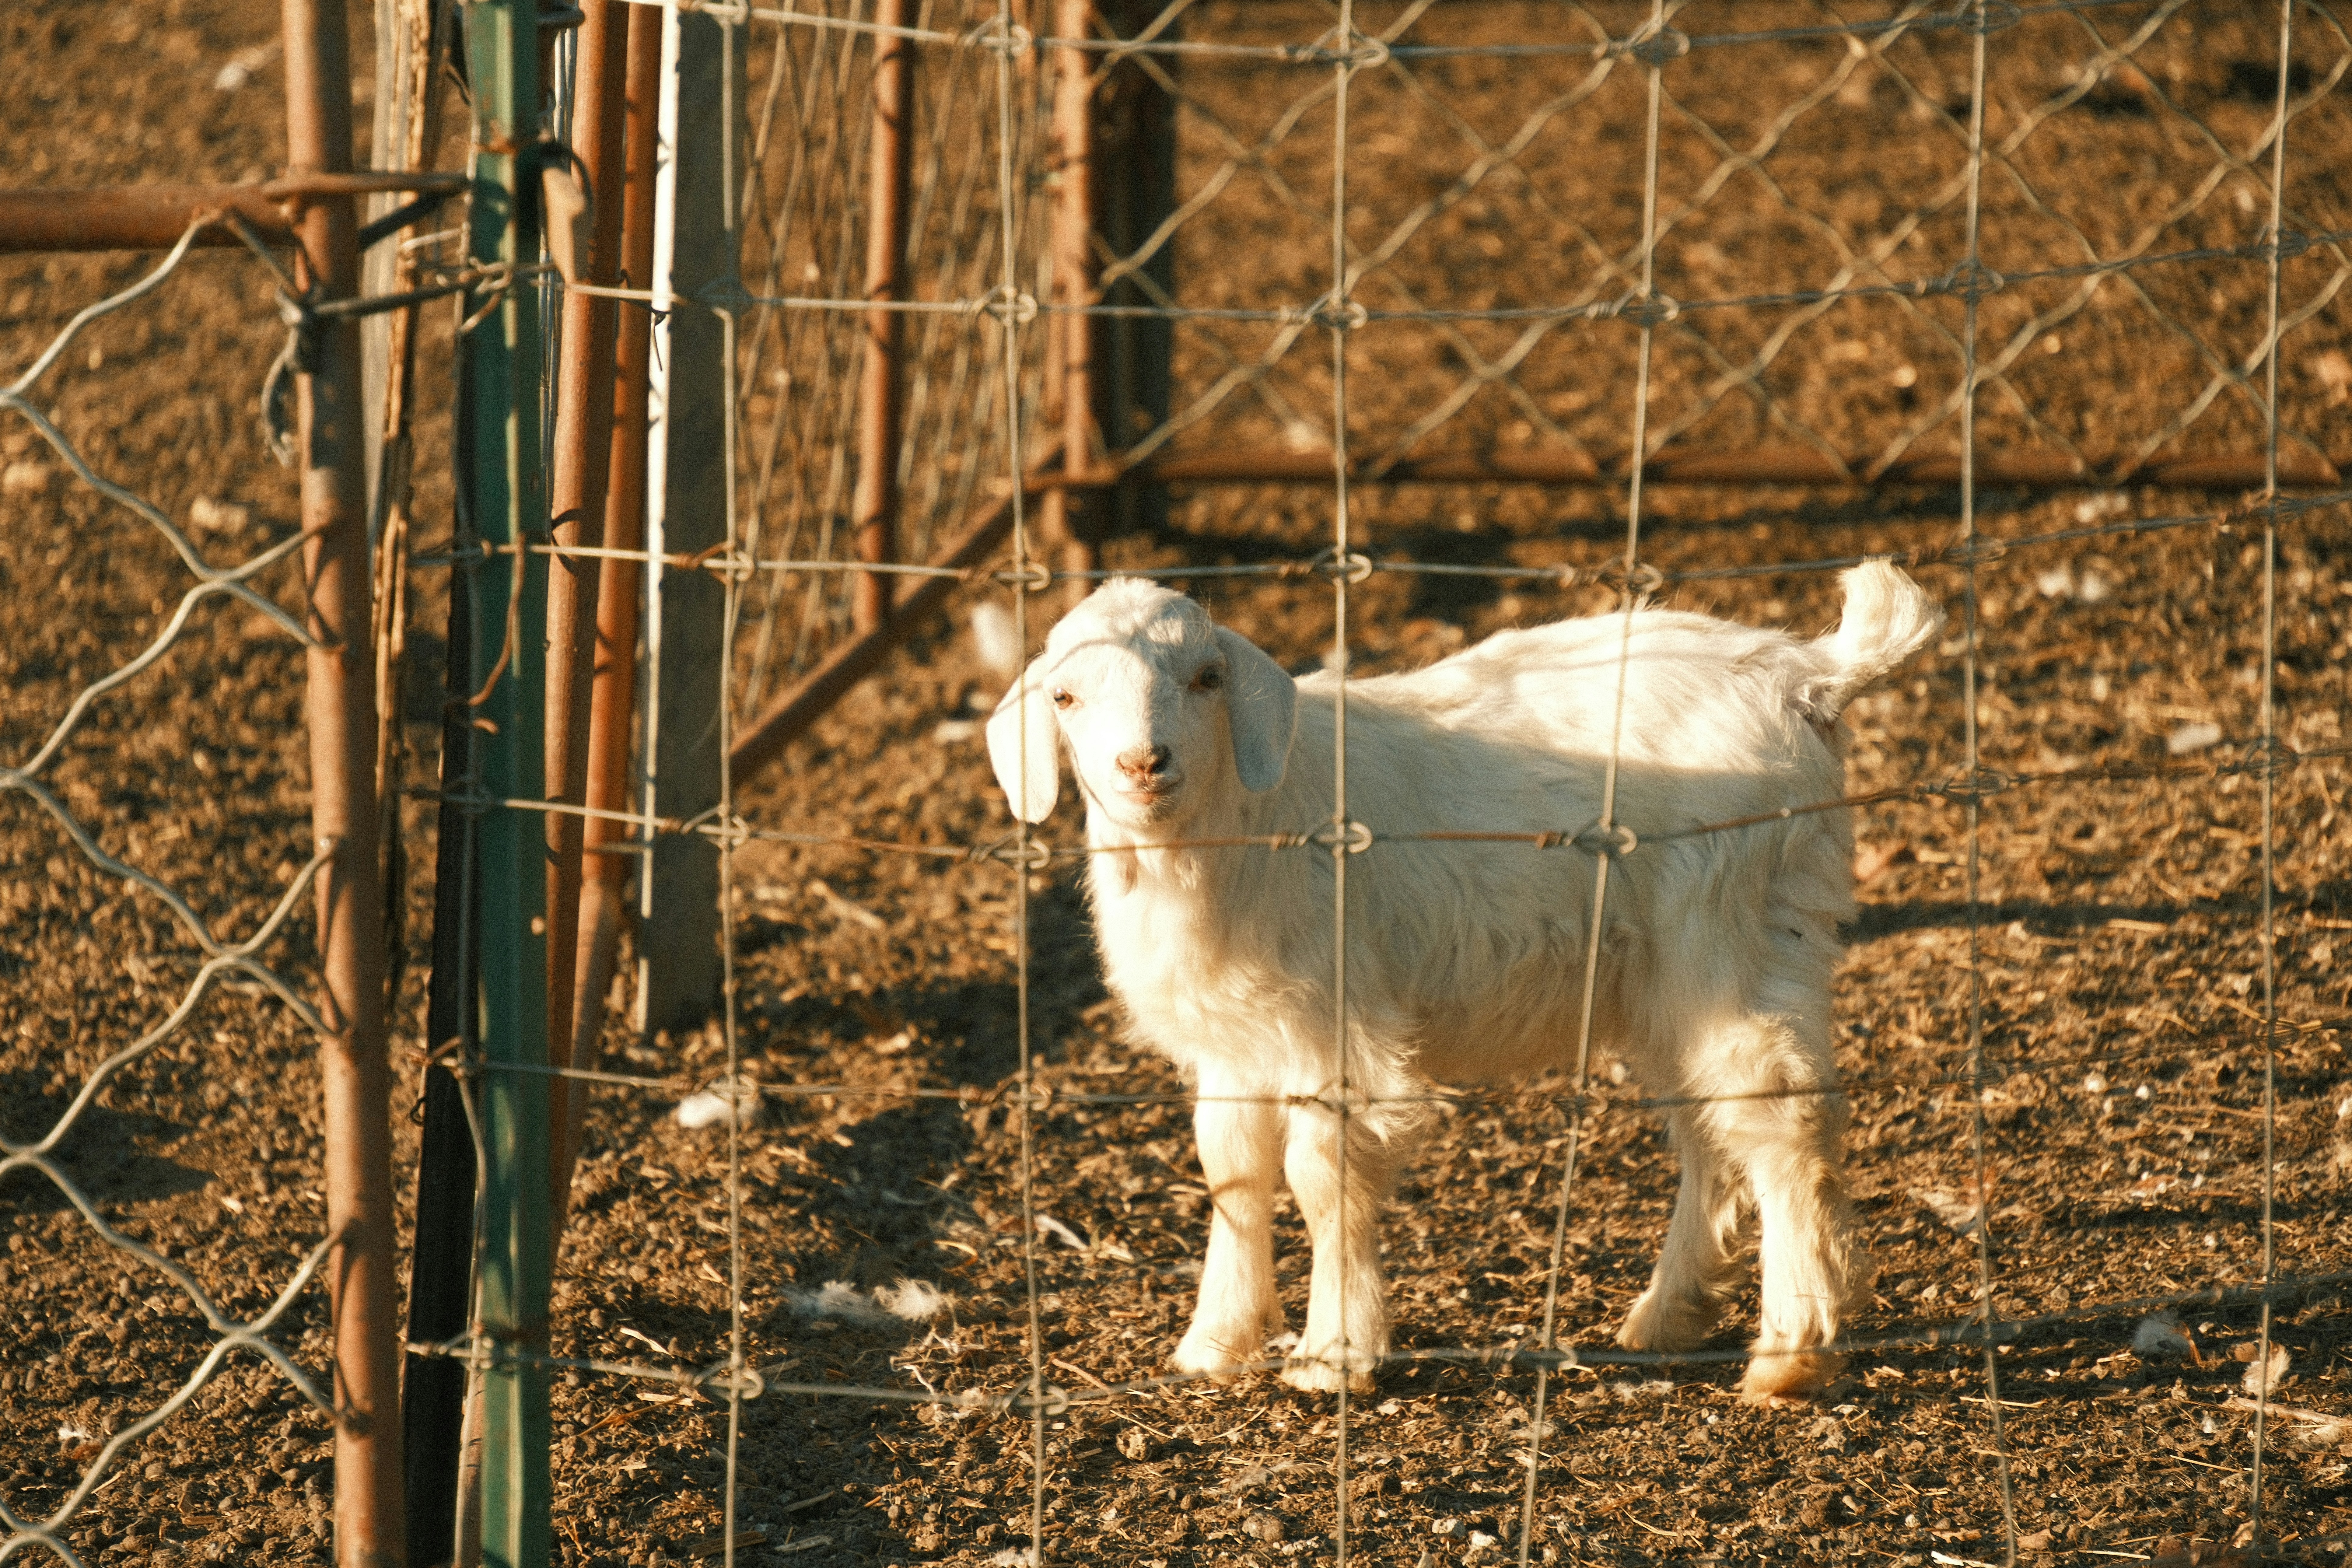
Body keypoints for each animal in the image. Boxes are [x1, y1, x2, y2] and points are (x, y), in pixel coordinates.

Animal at [986, 564, 1941, 1401]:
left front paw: (1334, 1357)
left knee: (1780, 1117)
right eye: (1065, 698)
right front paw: (1214, 1345)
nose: (1143, 766)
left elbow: (1322, 1175)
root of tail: (1806, 673)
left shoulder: (1335, 1025)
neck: (1237, 831)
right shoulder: (1235, 1039)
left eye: (1208, 677)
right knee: (1714, 1127)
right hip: (1669, 978)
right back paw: (1669, 1318)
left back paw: (1791, 1352)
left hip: (1729, 931)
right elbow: (1232, 1172)